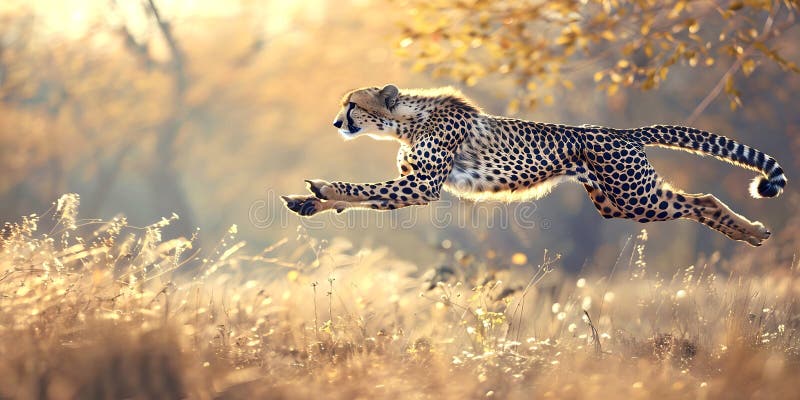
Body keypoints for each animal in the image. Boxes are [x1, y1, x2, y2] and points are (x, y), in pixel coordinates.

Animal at [283, 84, 787, 246]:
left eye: (351, 103)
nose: (336, 122)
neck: (405, 120)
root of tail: (623, 132)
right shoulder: (412, 182)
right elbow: (368, 196)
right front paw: (308, 203)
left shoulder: (422, 186)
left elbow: (363, 189)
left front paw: (323, 190)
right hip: (618, 202)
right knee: (698, 201)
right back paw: (752, 233)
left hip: (633, 197)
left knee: (701, 198)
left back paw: (752, 232)